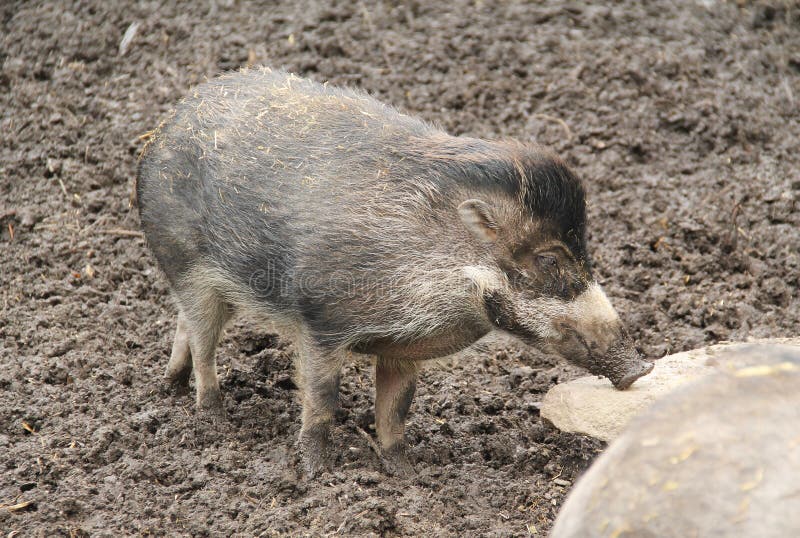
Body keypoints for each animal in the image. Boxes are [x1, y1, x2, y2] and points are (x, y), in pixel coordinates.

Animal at [135, 67, 652, 476]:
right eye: (548, 259)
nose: (640, 368)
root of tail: (167, 122)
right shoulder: (322, 323)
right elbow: (322, 400)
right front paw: (316, 473)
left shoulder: (404, 351)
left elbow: (396, 411)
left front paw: (406, 475)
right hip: (188, 268)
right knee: (205, 344)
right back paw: (213, 420)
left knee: (184, 327)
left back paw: (170, 384)